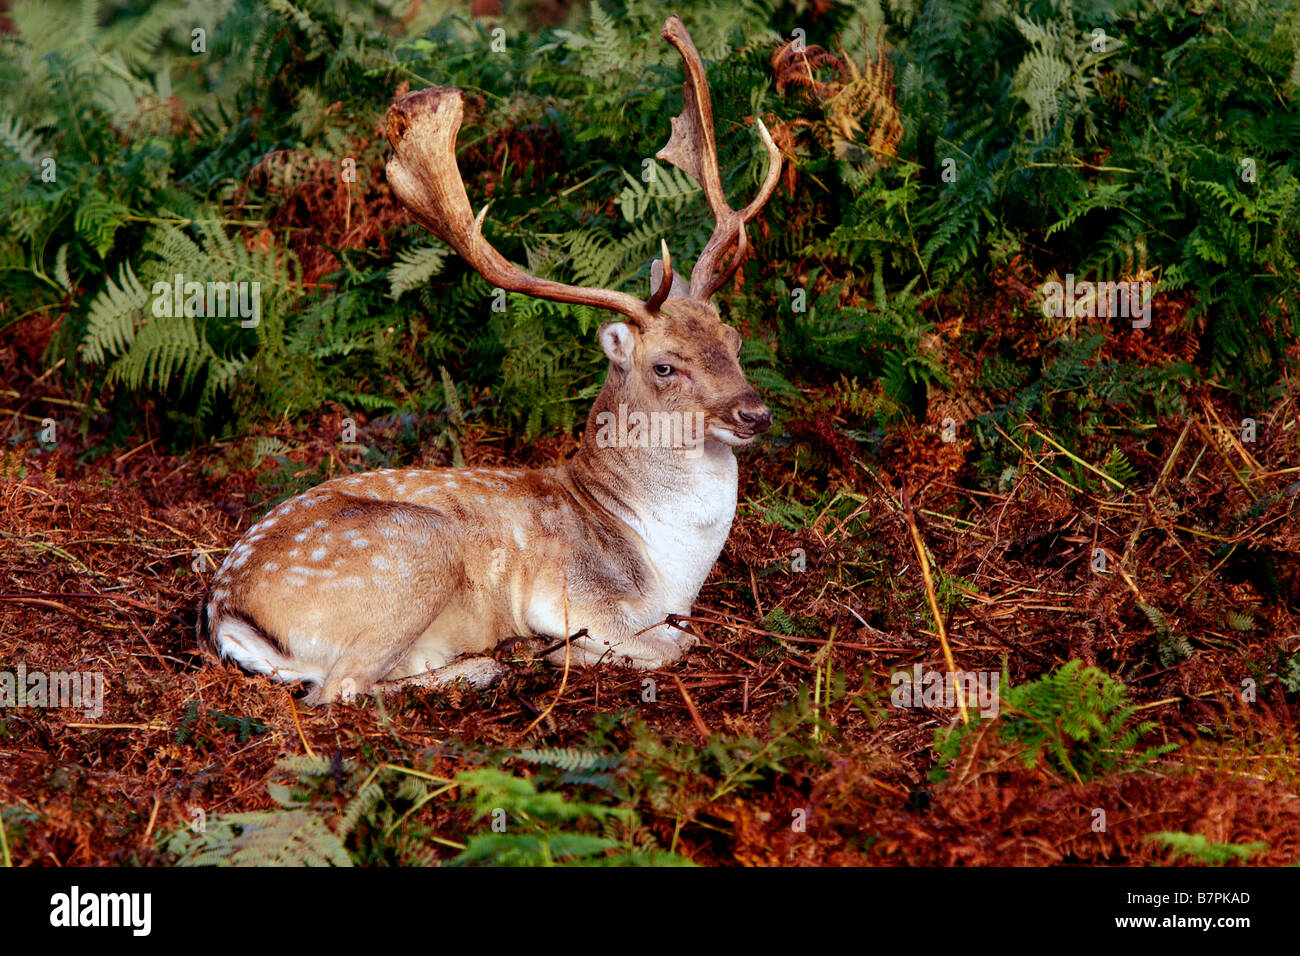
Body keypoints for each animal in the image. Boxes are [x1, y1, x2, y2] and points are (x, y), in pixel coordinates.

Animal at [200, 15, 782, 704]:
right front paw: (567, 651)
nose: (753, 413)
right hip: (412, 554)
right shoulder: (579, 595)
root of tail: (226, 611)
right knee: (339, 688)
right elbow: (673, 645)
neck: (665, 566)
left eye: (733, 338)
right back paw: (497, 660)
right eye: (664, 366)